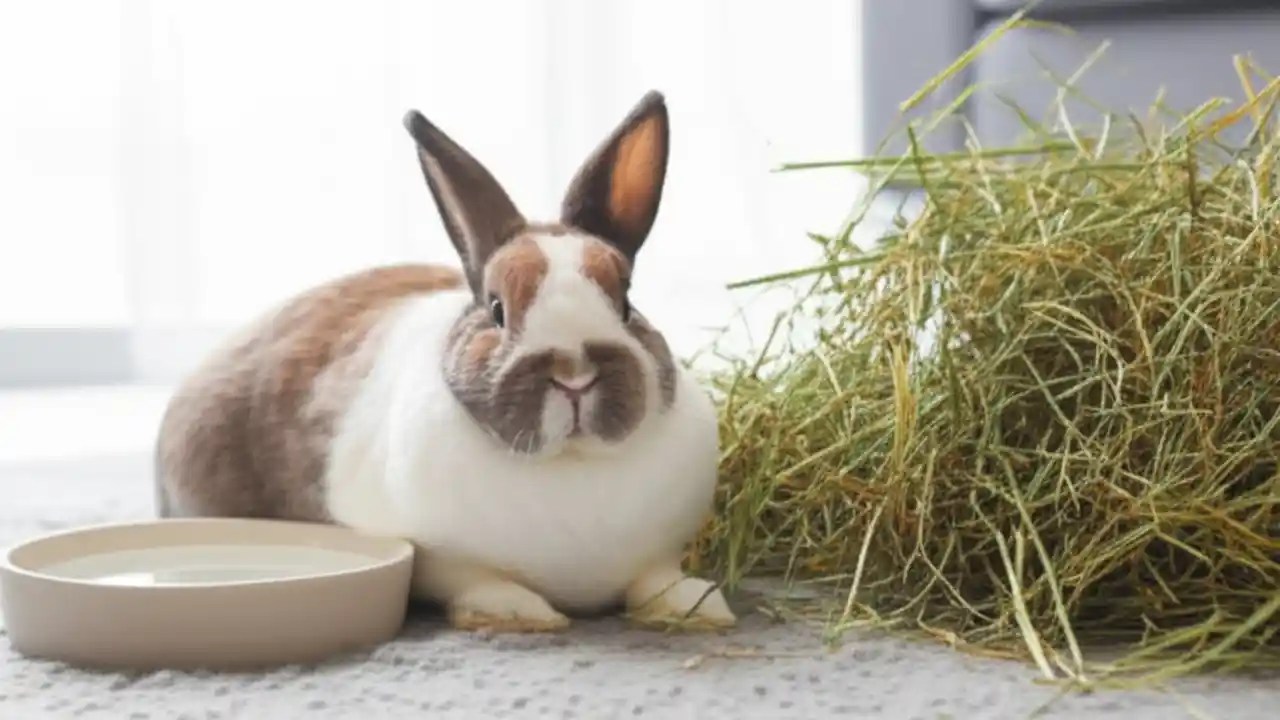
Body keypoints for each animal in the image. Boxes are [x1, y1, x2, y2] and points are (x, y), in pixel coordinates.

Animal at [154, 90, 736, 633]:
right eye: (497, 308)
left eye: (626, 301)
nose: (575, 375)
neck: (570, 462)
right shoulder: (438, 556)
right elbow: (476, 579)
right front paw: (521, 614)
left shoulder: (658, 555)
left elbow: (659, 579)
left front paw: (702, 607)